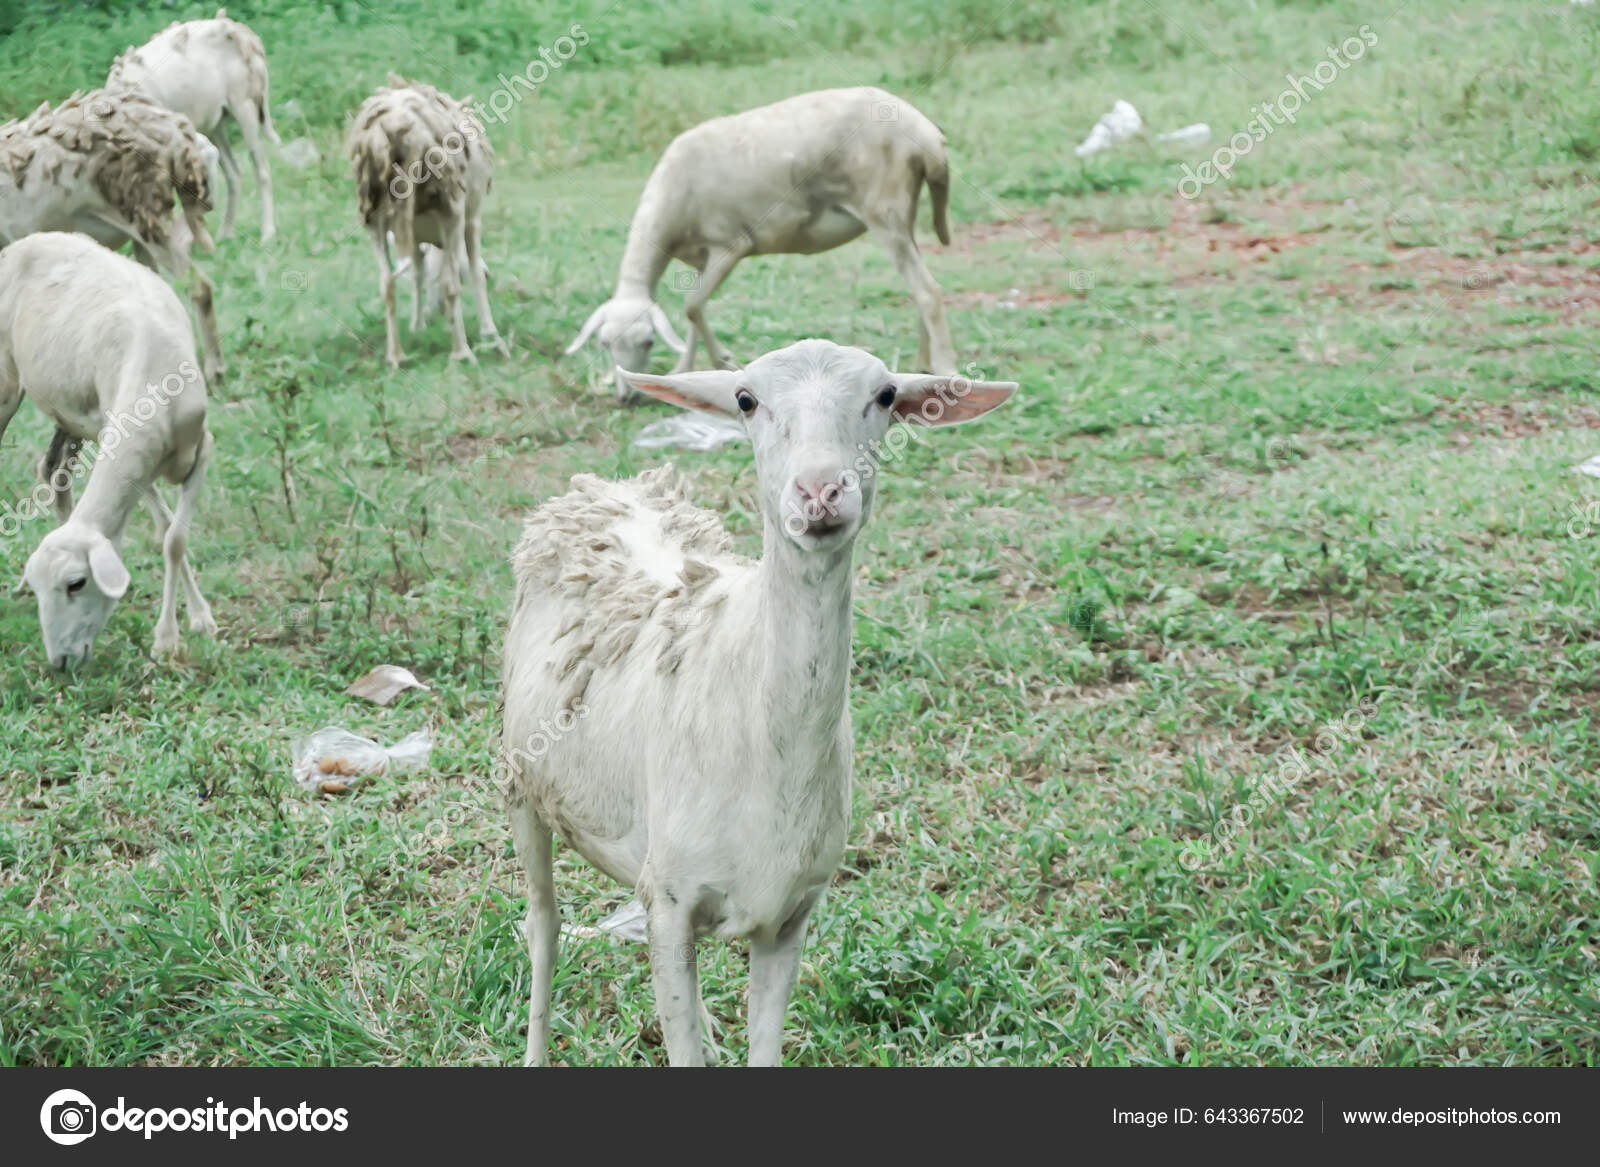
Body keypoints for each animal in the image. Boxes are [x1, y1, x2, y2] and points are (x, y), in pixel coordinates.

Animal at [1, 232, 216, 668]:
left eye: (76, 583)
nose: (60, 663)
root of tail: (27, 240)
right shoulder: (123, 450)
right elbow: (167, 528)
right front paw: (172, 635)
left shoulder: (199, 450)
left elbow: (174, 537)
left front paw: (185, 628)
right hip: (7, 382)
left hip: (68, 413)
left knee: (54, 472)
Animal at [106, 8, 280, 245]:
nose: (207, 207)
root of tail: (244, 33)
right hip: (215, 122)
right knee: (234, 173)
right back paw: (226, 233)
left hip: (245, 105)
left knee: (261, 169)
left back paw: (267, 233)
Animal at [347, 76, 507, 367]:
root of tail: (395, 123)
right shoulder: (470, 220)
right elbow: (473, 273)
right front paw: (490, 333)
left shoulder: (412, 236)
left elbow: (418, 275)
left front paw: (418, 325)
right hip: (450, 209)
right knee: (450, 283)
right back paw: (461, 351)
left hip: (374, 218)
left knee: (387, 282)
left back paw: (396, 355)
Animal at [501, 338, 1016, 1065]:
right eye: (745, 399)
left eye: (886, 395)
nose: (821, 490)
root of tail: (606, 486)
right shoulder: (671, 899)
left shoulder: (788, 914)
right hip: (521, 785)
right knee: (543, 926)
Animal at [564, 87, 959, 400]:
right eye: (603, 344)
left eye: (647, 342)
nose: (627, 398)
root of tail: (926, 133)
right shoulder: (701, 259)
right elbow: (692, 314)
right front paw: (683, 371)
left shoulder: (729, 245)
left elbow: (691, 306)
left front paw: (722, 361)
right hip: (903, 211)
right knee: (921, 287)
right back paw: (922, 365)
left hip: (883, 208)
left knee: (927, 290)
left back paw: (946, 369)